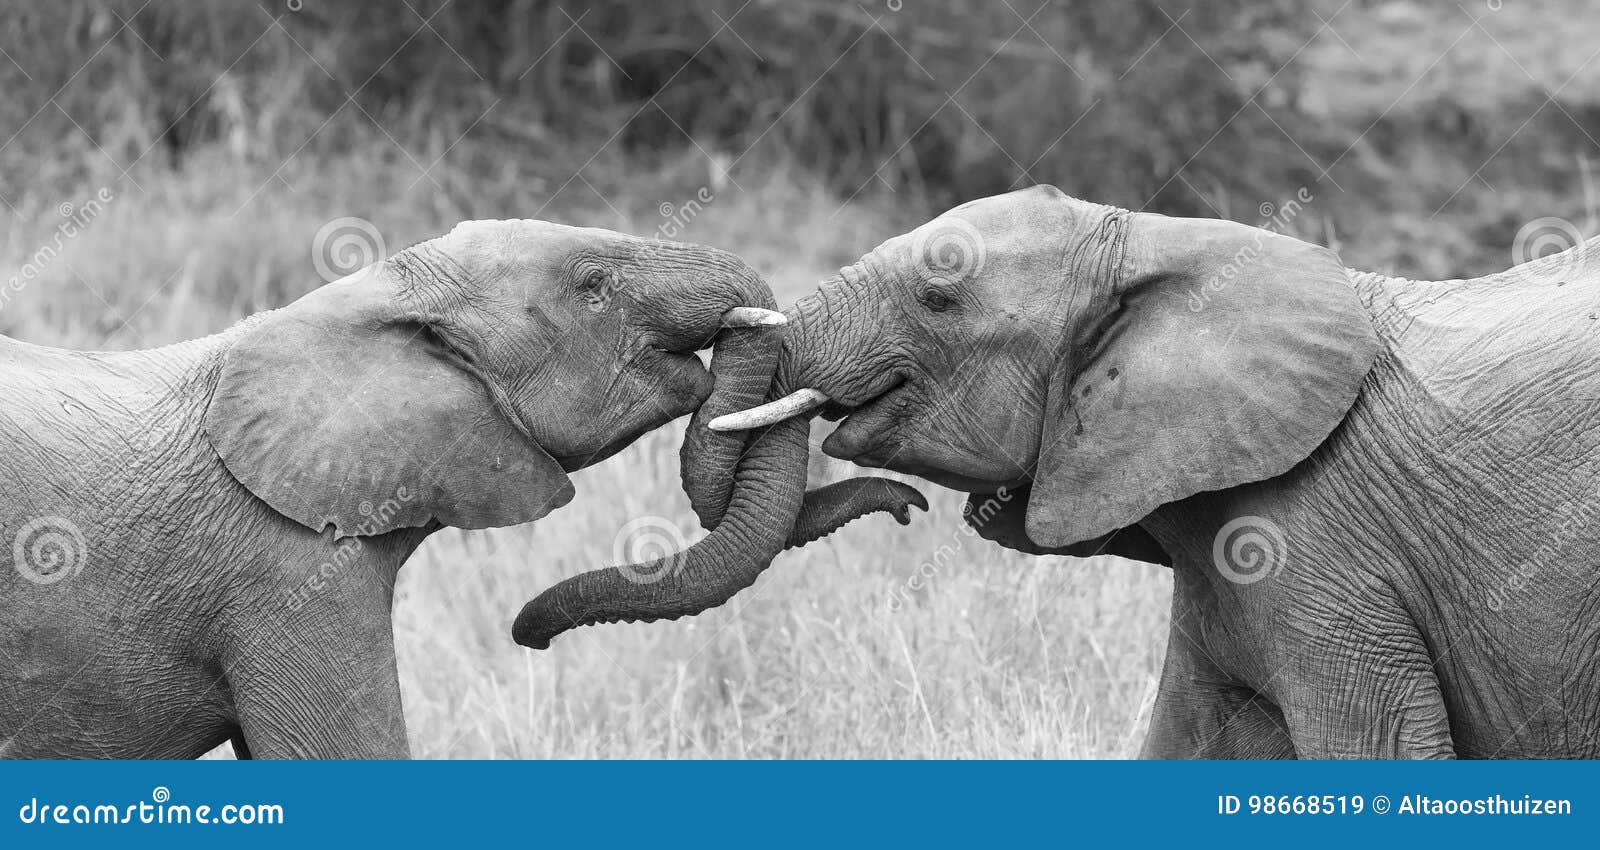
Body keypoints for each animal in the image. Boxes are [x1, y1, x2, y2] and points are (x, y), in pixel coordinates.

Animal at [519, 185, 1600, 759]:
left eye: (939, 298)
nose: (906, 511)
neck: (1159, 237)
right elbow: (1183, 743)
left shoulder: (1323, 541)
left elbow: (1375, 749)